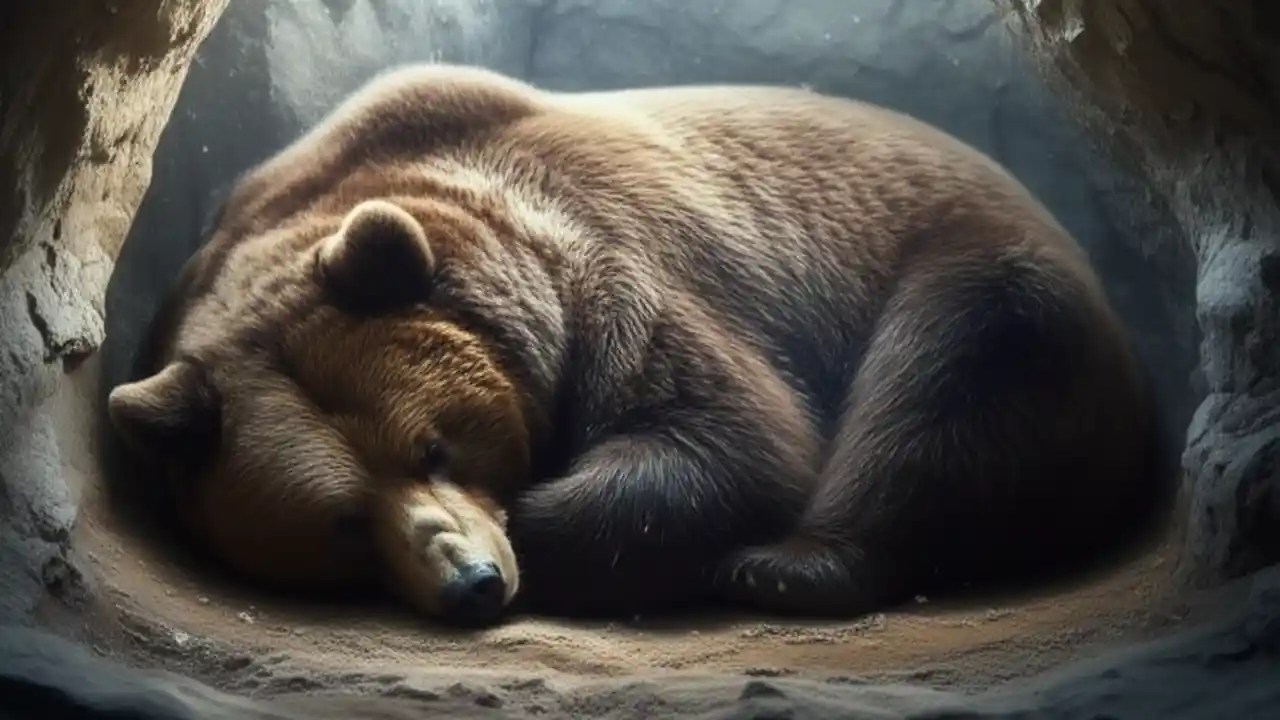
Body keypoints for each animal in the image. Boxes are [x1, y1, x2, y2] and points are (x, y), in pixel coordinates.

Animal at [107, 63, 1166, 625]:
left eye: (435, 445)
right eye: (339, 522)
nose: (474, 584)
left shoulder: (615, 262)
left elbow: (720, 436)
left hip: (977, 274)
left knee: (945, 390)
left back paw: (785, 565)